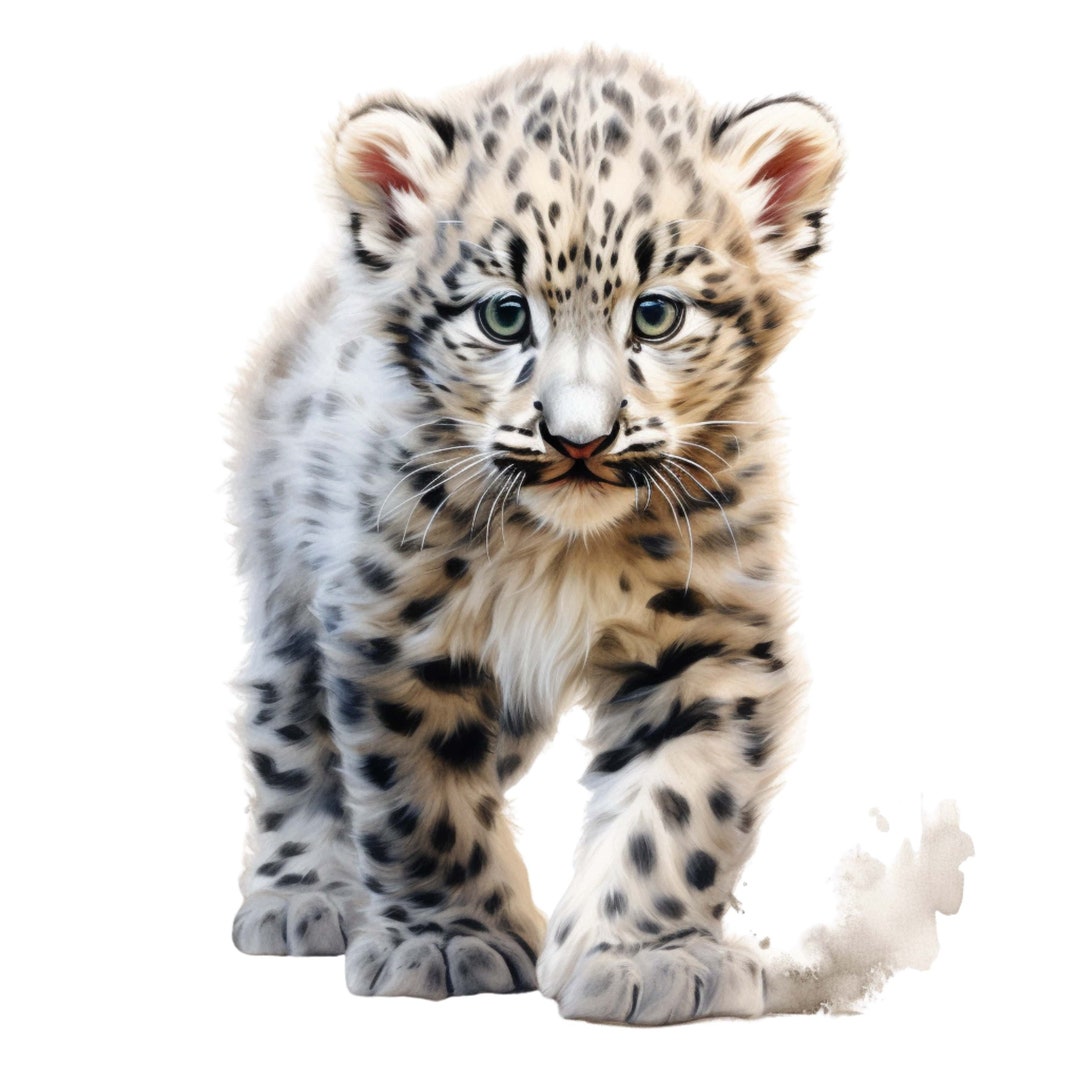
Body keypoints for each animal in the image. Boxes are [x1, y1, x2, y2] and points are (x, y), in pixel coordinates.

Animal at [229, 47, 842, 1025]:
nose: (578, 438)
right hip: (288, 587)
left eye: (658, 313)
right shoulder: (398, 635)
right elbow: (421, 802)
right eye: (503, 314)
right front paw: (450, 943)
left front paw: (648, 958)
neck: (564, 551)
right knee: (288, 733)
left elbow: (681, 806)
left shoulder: (710, 640)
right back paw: (304, 894)